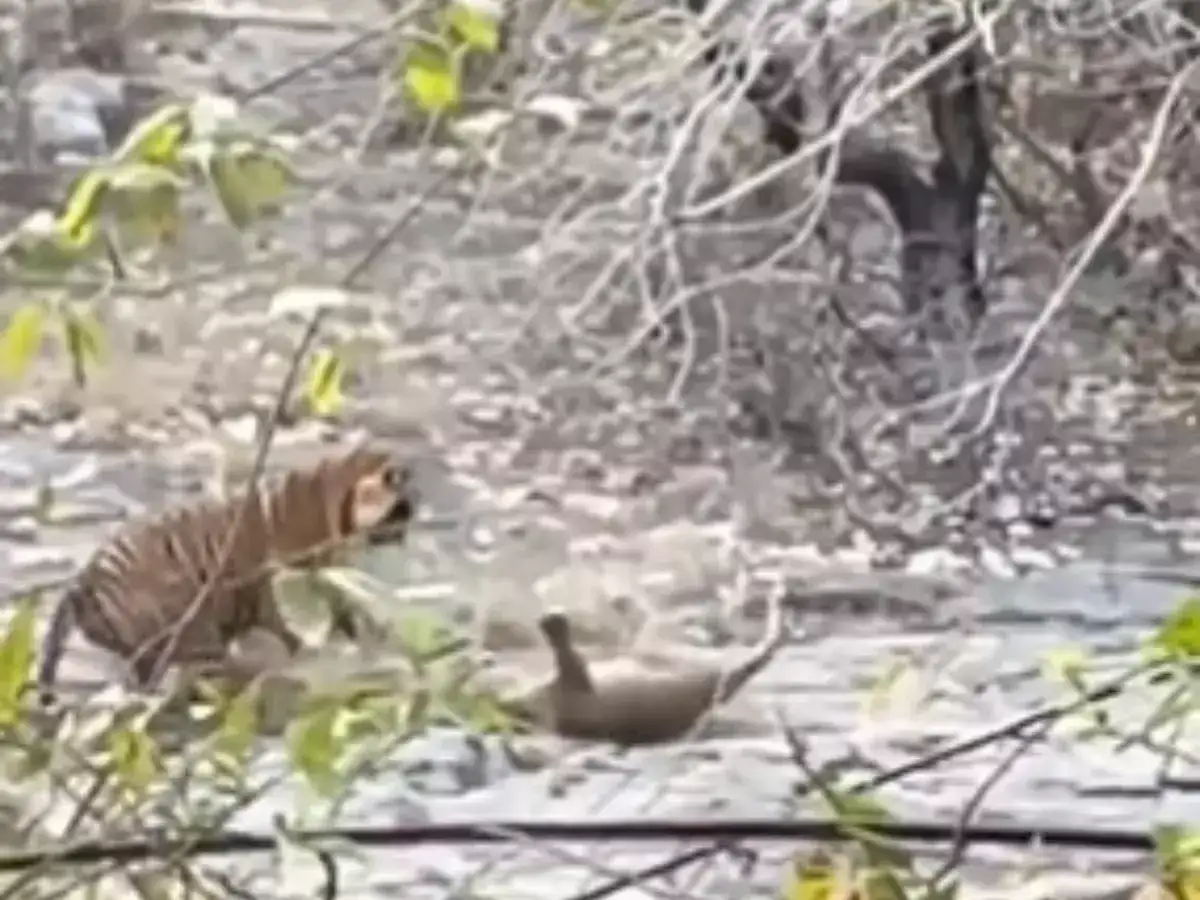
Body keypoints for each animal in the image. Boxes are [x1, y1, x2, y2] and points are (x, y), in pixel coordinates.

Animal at [36, 446, 418, 705]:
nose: (404, 539)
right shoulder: (287, 589)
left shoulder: (321, 584)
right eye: (399, 515)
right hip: (189, 628)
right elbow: (304, 629)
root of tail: (82, 582)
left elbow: (347, 616)